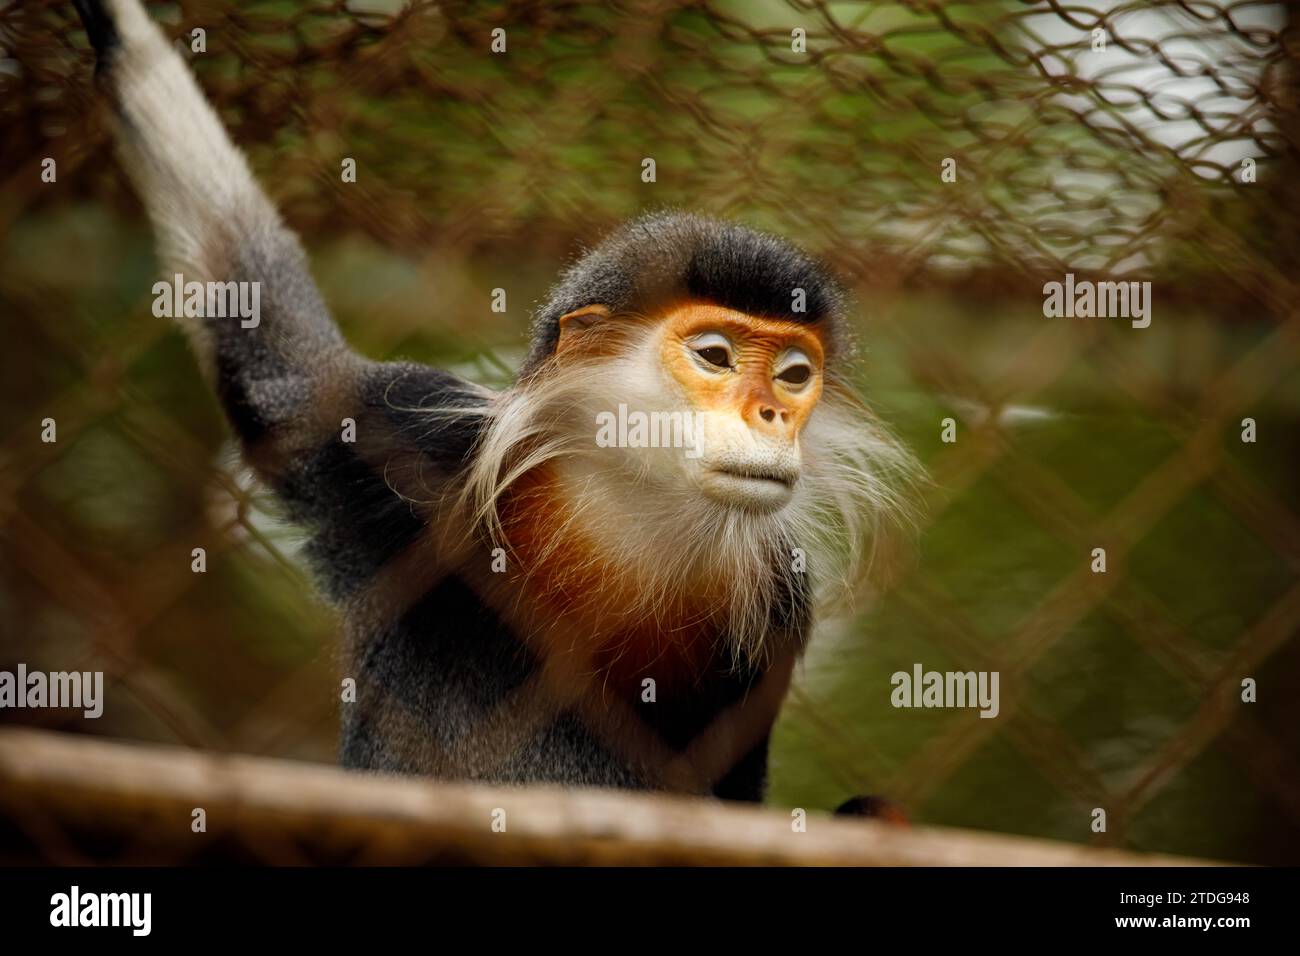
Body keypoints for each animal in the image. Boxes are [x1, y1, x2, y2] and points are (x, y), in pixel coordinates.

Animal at [70, 0, 918, 808]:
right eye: (715, 356)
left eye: (794, 375)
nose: (772, 415)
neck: (622, 510)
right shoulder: (411, 435)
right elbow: (259, 326)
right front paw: (117, 26)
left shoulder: (781, 602)